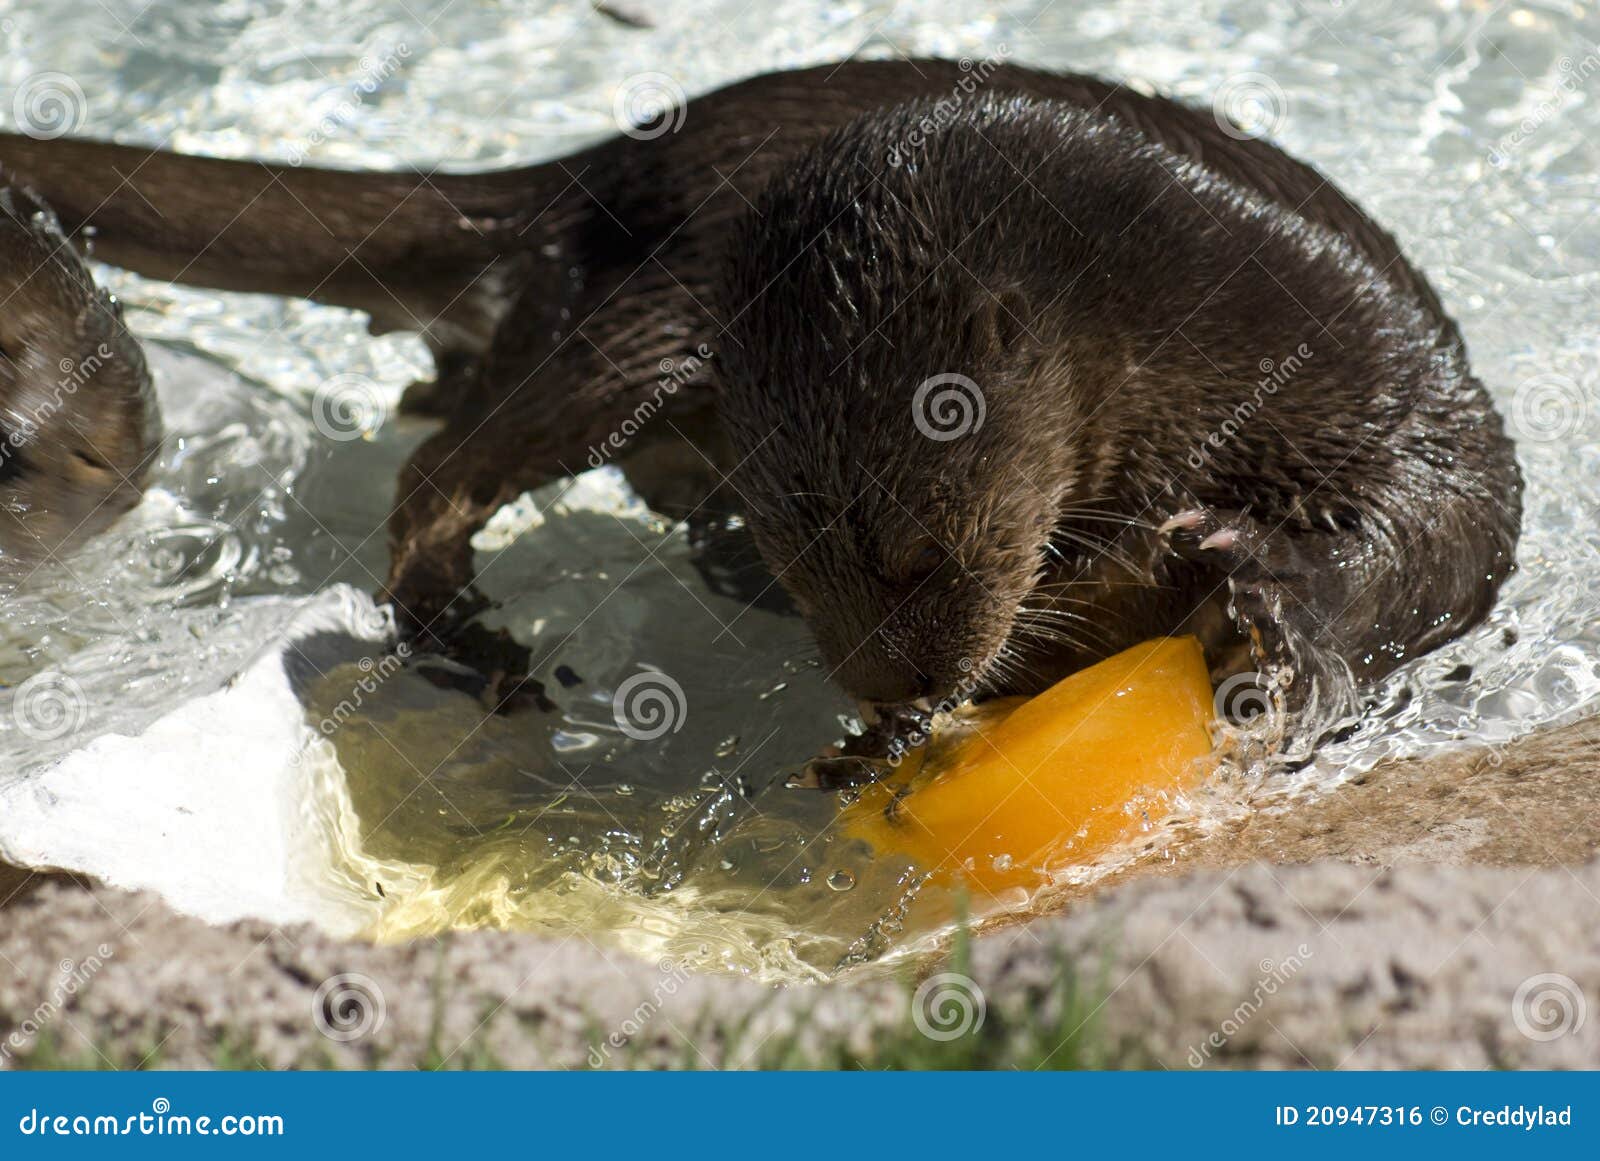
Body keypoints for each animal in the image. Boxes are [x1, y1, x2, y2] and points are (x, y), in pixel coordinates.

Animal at [0, 59, 1521, 728]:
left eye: (913, 554)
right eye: (820, 559)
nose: (899, 694)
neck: (1230, 342)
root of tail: (610, 161)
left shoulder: (1391, 390)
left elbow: (1448, 534)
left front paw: (1278, 619)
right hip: (647, 314)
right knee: (458, 466)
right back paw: (465, 634)